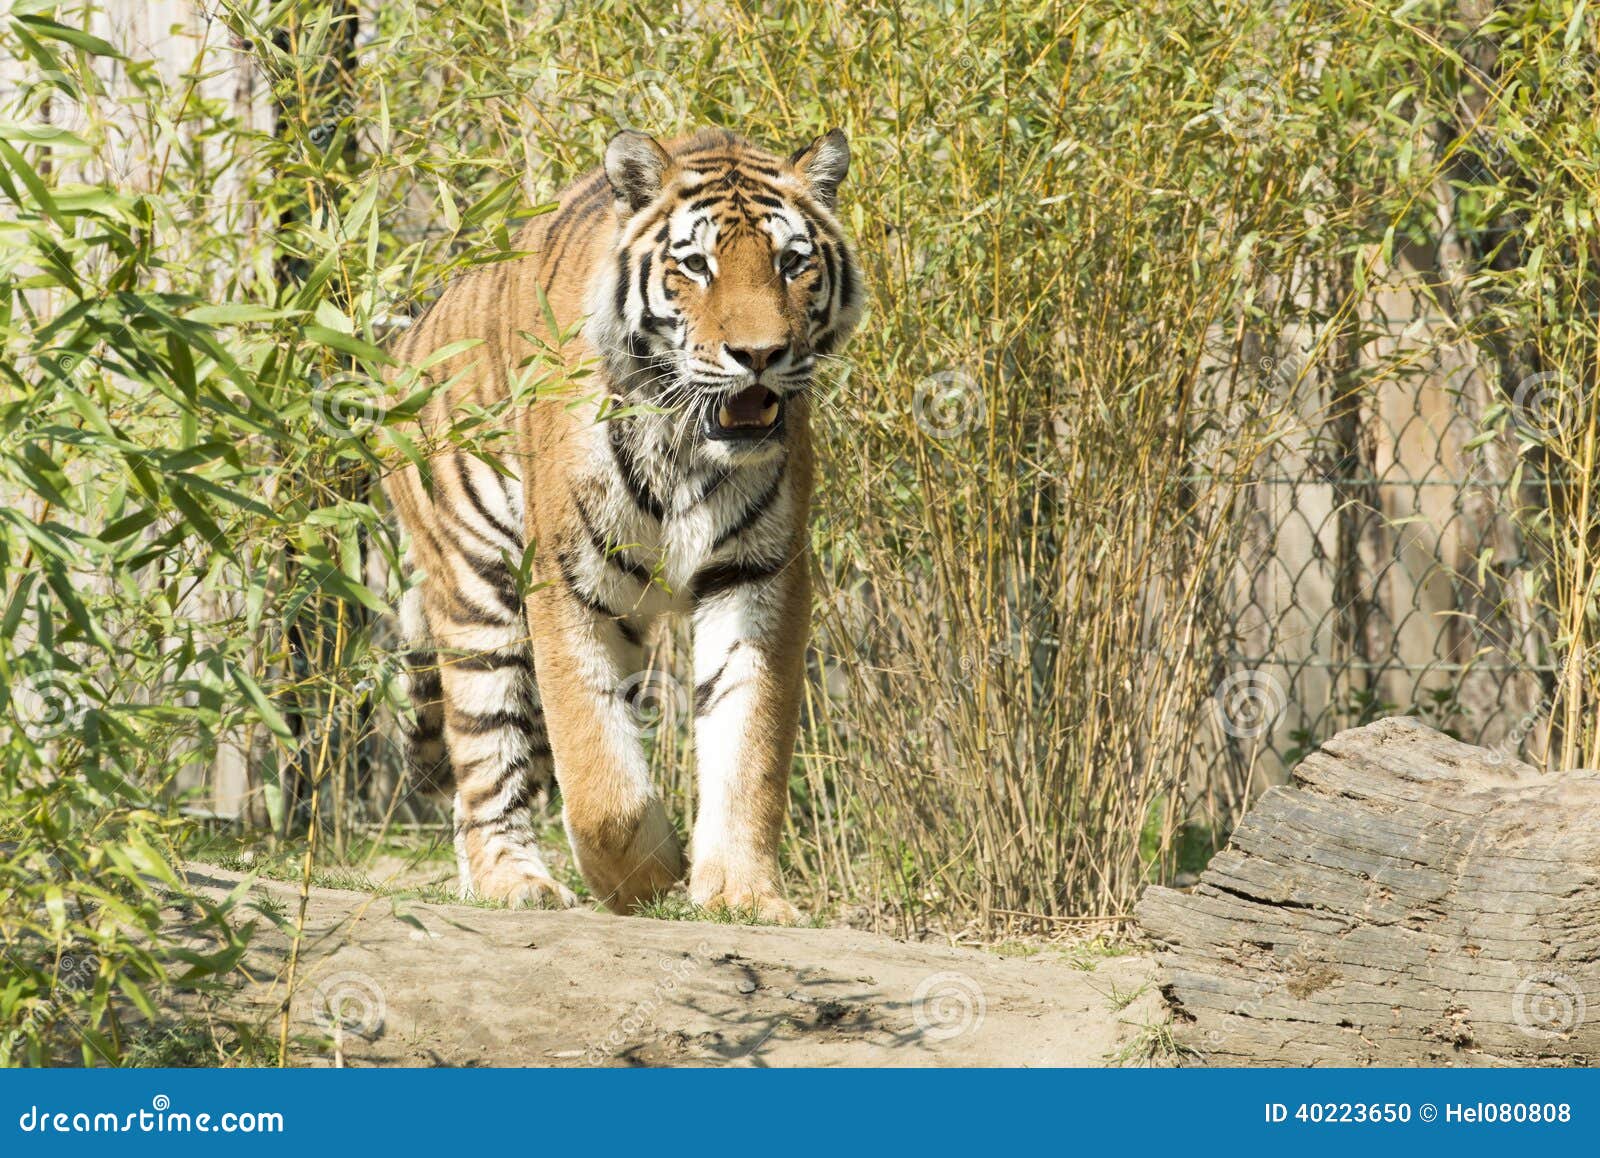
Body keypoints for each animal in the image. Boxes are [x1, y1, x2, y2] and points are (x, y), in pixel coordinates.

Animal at [382, 127, 863, 923]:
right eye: (696, 265)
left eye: (792, 263)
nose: (760, 355)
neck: (687, 443)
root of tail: (411, 336)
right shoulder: (565, 578)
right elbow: (597, 770)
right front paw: (649, 876)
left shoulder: (758, 575)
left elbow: (748, 743)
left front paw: (742, 893)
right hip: (479, 588)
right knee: (487, 756)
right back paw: (510, 881)